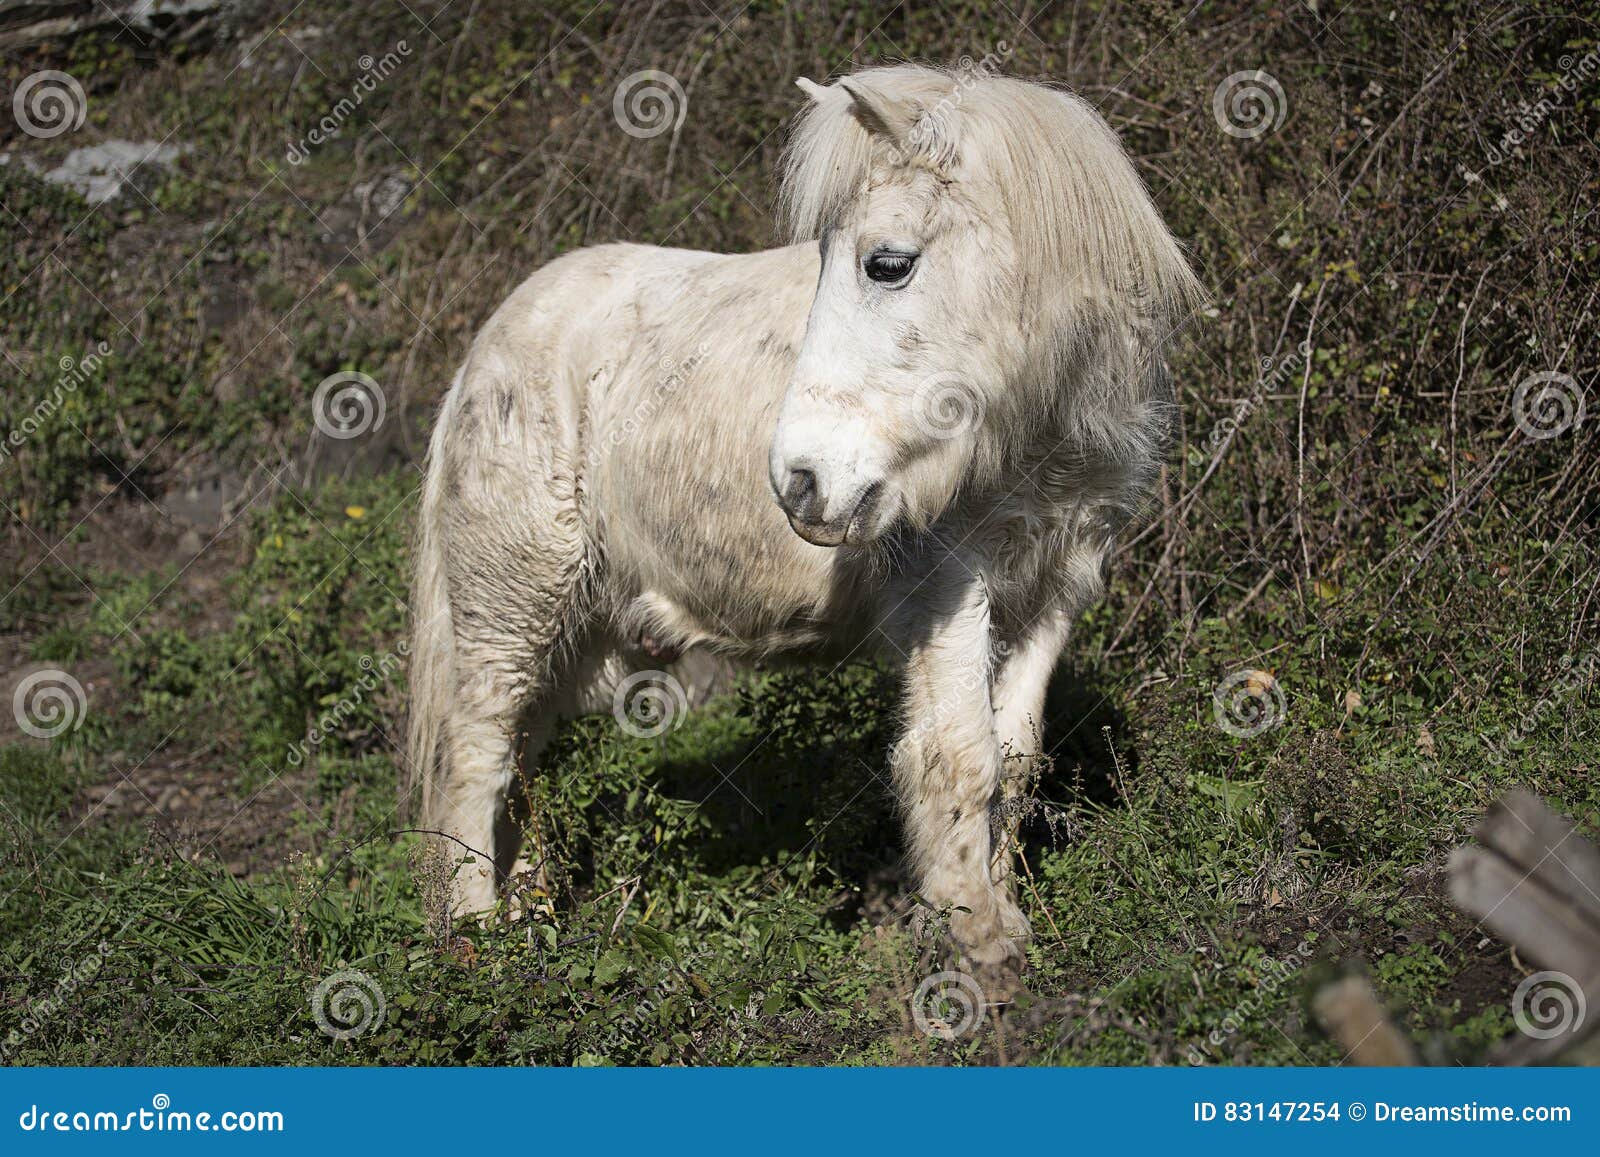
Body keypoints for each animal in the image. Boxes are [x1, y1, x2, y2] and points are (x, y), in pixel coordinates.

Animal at [406, 63, 1201, 984]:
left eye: (887, 264)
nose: (798, 484)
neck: (1042, 428)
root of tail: (488, 346)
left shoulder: (1056, 586)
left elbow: (1015, 759)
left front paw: (1004, 918)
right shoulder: (947, 582)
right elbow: (958, 757)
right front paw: (974, 941)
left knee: (526, 760)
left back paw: (530, 923)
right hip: (513, 604)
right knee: (479, 757)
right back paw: (480, 944)